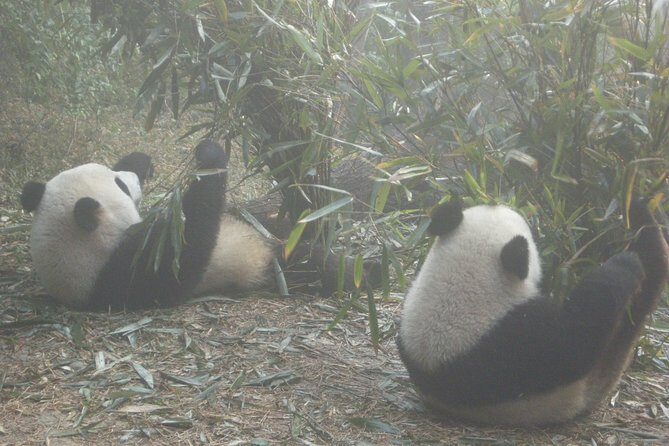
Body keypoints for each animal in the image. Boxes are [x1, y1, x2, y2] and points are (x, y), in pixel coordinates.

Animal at [20, 141, 277, 311]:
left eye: (117, 177)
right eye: (121, 185)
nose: (133, 177)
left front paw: (141, 161)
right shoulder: (123, 276)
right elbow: (182, 252)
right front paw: (210, 156)